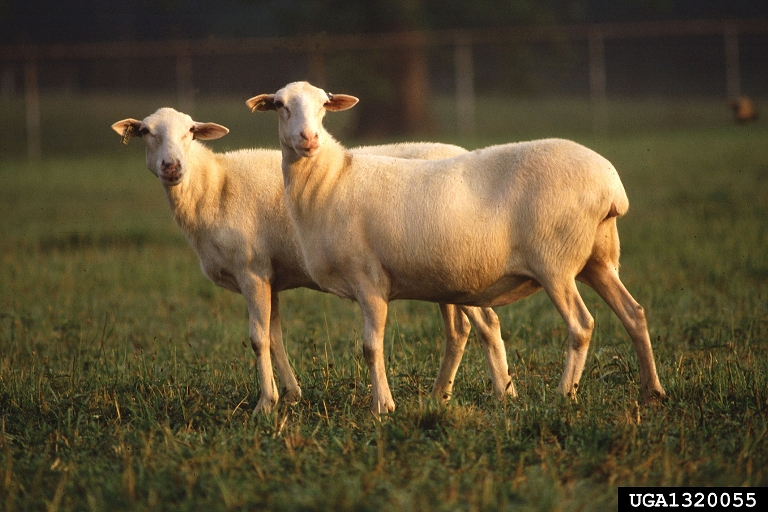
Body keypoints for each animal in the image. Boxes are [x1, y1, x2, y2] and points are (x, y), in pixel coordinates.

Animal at [111, 107, 514, 413]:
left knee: (485, 324)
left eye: (191, 133)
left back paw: (503, 393)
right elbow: (274, 336)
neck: (214, 187)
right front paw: (290, 395)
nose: (171, 167)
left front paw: (266, 404)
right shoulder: (271, 276)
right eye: (146, 132)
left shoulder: (251, 271)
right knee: (459, 330)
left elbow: (258, 338)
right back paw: (441, 396)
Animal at [247, 81, 666, 414]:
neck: (330, 180)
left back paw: (565, 395)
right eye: (281, 105)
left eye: (323, 106)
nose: (309, 139)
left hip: (556, 263)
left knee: (581, 325)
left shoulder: (369, 279)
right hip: (599, 260)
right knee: (634, 314)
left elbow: (370, 347)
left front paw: (383, 406)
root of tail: (611, 186)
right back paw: (652, 392)